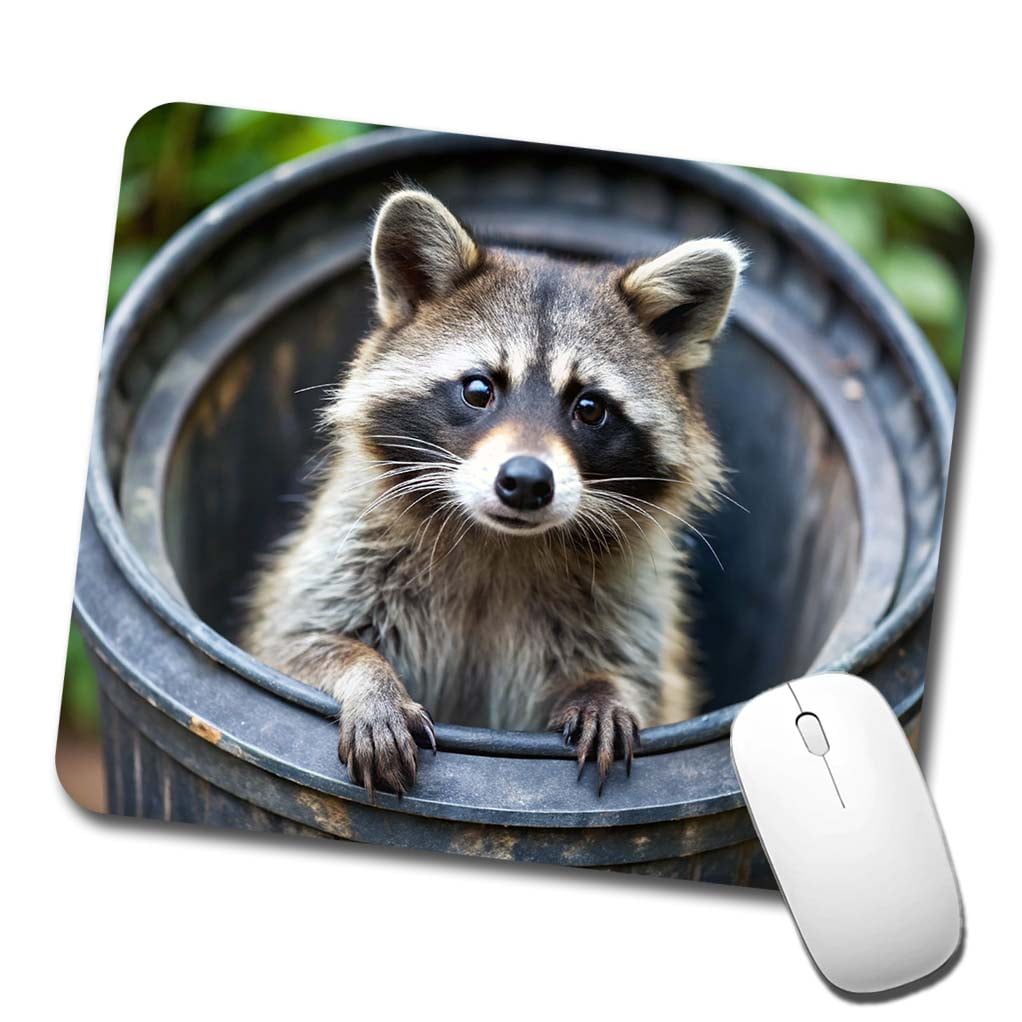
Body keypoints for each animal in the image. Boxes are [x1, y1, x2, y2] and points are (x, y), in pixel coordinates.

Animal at [243, 188, 744, 798]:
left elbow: (644, 683)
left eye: (590, 407)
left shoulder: (627, 604)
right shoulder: (348, 553)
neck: (498, 542)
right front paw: (367, 676)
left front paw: (605, 689)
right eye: (479, 389)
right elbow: (292, 645)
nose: (526, 482)